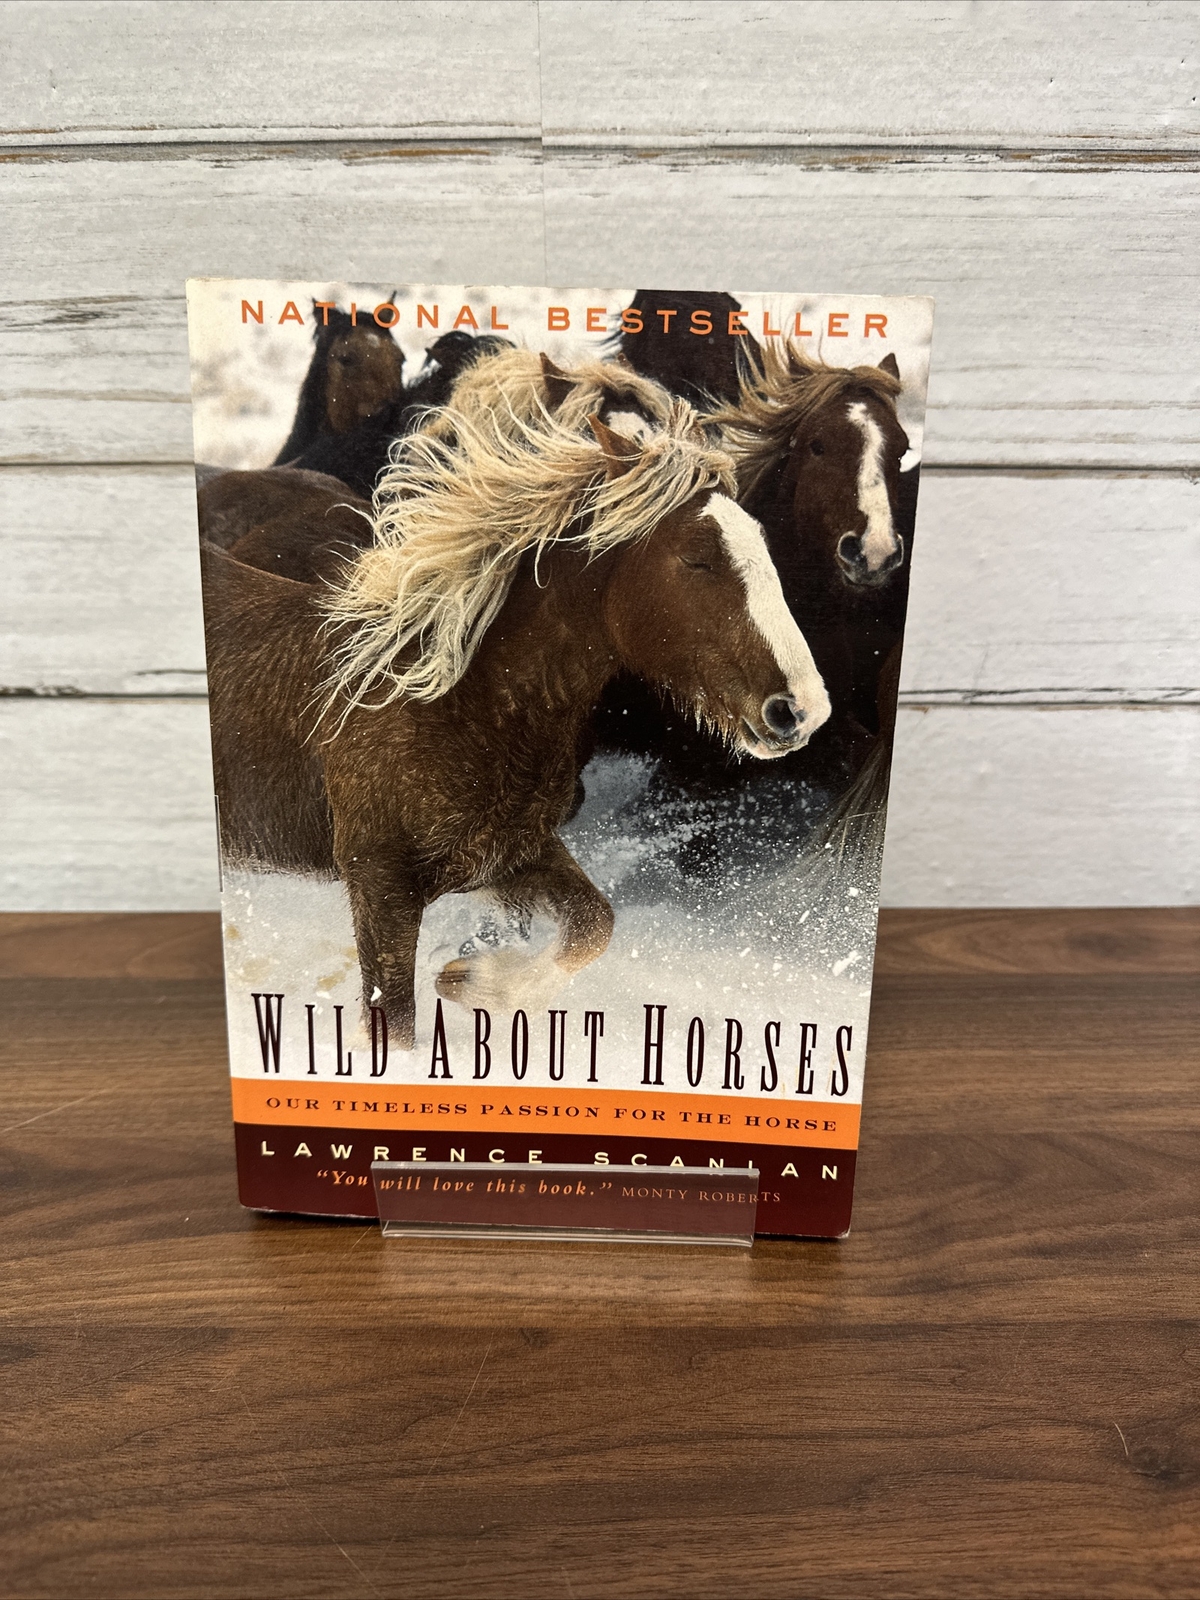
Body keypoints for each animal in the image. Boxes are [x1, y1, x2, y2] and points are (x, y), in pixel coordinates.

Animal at [202, 402, 830, 1046]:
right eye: (696, 558)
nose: (801, 709)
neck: (457, 706)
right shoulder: (380, 884)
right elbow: (397, 1025)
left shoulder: (511, 854)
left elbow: (593, 925)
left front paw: (475, 980)